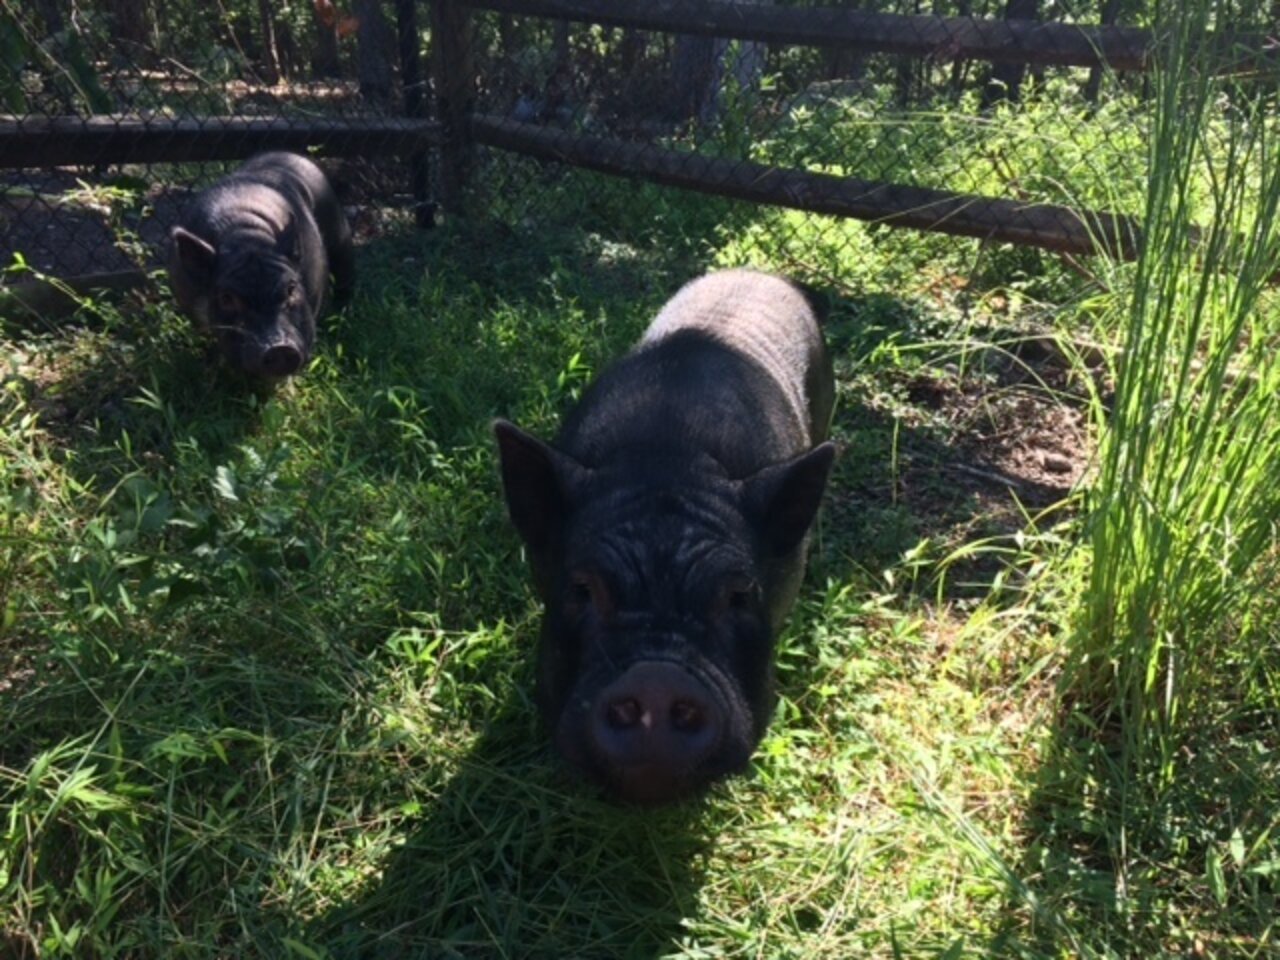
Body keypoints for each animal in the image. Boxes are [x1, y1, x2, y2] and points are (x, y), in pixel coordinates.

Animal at [168, 151, 354, 379]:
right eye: (226, 298)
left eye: (291, 288)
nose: (280, 348)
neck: (245, 237)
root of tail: (291, 154)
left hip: (339, 231)